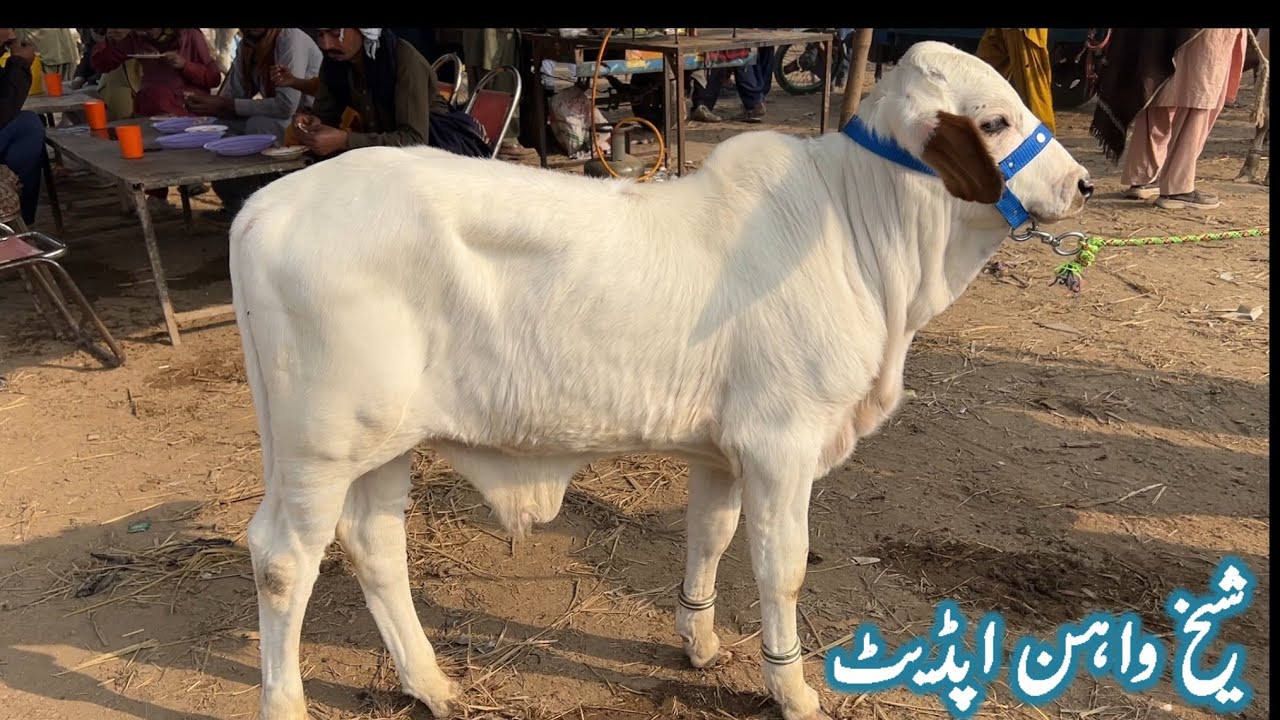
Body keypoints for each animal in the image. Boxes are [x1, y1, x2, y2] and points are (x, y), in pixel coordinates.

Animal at [228, 40, 1094, 720]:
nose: (1082, 183)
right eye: (995, 121)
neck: (863, 233)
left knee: (374, 544)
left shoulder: (723, 452)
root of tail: (264, 208)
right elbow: (781, 568)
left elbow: (710, 536)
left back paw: (432, 683)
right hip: (320, 448)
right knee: (281, 561)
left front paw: (699, 641)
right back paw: (290, 701)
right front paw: (792, 689)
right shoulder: (781, 444)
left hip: (381, 446)